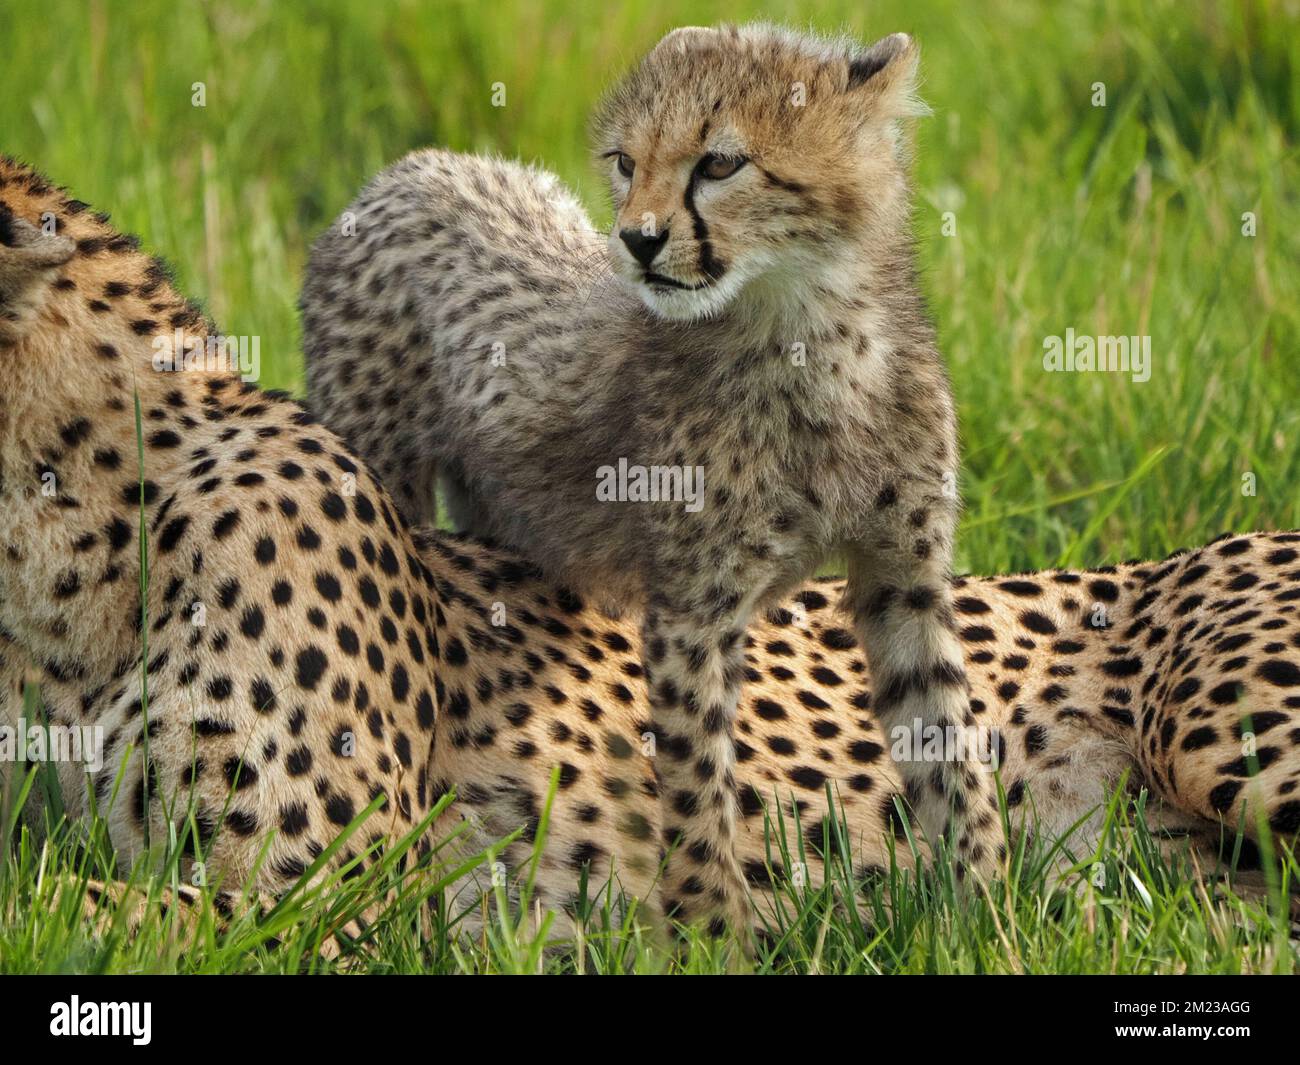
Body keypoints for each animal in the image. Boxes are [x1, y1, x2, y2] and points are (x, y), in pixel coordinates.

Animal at [300, 22, 1002, 938]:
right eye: (626, 162)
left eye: (720, 163)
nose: (636, 239)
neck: (812, 332)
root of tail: (413, 166)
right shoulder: (690, 612)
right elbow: (699, 788)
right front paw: (714, 935)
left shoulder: (903, 578)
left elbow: (946, 740)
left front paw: (990, 909)